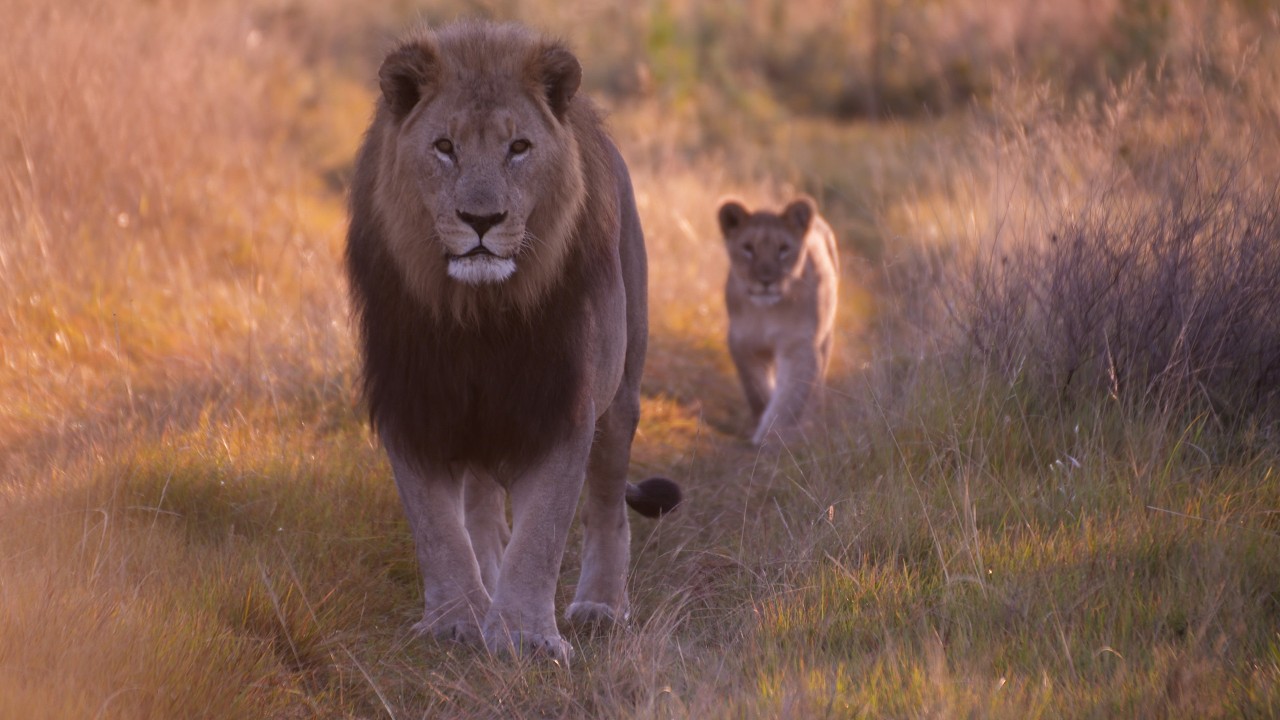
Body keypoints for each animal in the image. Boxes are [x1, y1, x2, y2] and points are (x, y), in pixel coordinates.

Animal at [344, 20, 680, 662]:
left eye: (519, 147)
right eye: (444, 147)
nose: (482, 220)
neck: (479, 312)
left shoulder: (562, 405)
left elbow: (544, 532)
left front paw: (525, 636)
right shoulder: (414, 404)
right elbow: (438, 530)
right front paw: (457, 622)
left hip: (621, 395)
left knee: (607, 506)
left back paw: (601, 607)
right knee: (481, 509)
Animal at [717, 197, 840, 446]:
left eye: (783, 249)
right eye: (748, 248)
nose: (766, 280)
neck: (768, 311)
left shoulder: (799, 347)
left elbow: (790, 397)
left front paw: (772, 435)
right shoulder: (743, 345)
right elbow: (757, 390)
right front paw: (761, 419)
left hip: (826, 338)